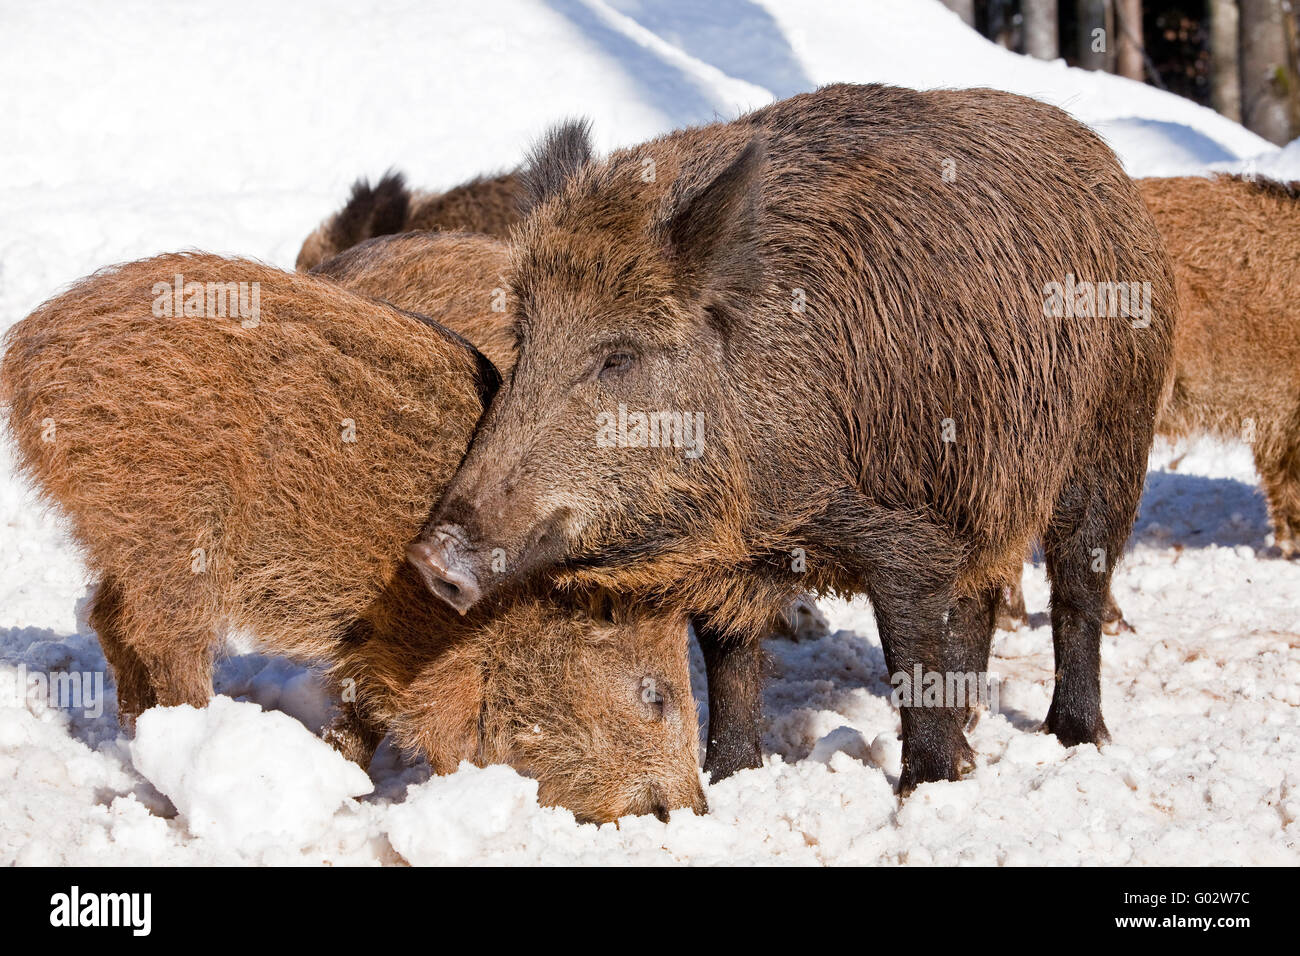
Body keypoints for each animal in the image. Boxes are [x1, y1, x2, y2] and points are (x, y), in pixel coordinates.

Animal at [0, 252, 705, 823]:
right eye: (655, 694)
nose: (696, 809)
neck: (516, 608)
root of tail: (25, 348)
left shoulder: (376, 647)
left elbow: (363, 721)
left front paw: (340, 774)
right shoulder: (427, 648)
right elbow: (446, 740)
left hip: (124, 538)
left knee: (106, 615)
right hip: (175, 529)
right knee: (163, 640)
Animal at [408, 83, 1178, 793]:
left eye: (618, 357)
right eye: (524, 338)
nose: (430, 558)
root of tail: (1111, 170)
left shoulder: (906, 530)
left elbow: (910, 654)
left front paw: (928, 788)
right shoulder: (729, 557)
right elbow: (730, 661)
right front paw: (731, 779)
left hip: (1111, 437)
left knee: (1078, 585)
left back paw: (1077, 738)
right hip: (994, 490)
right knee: (983, 595)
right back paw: (977, 733)